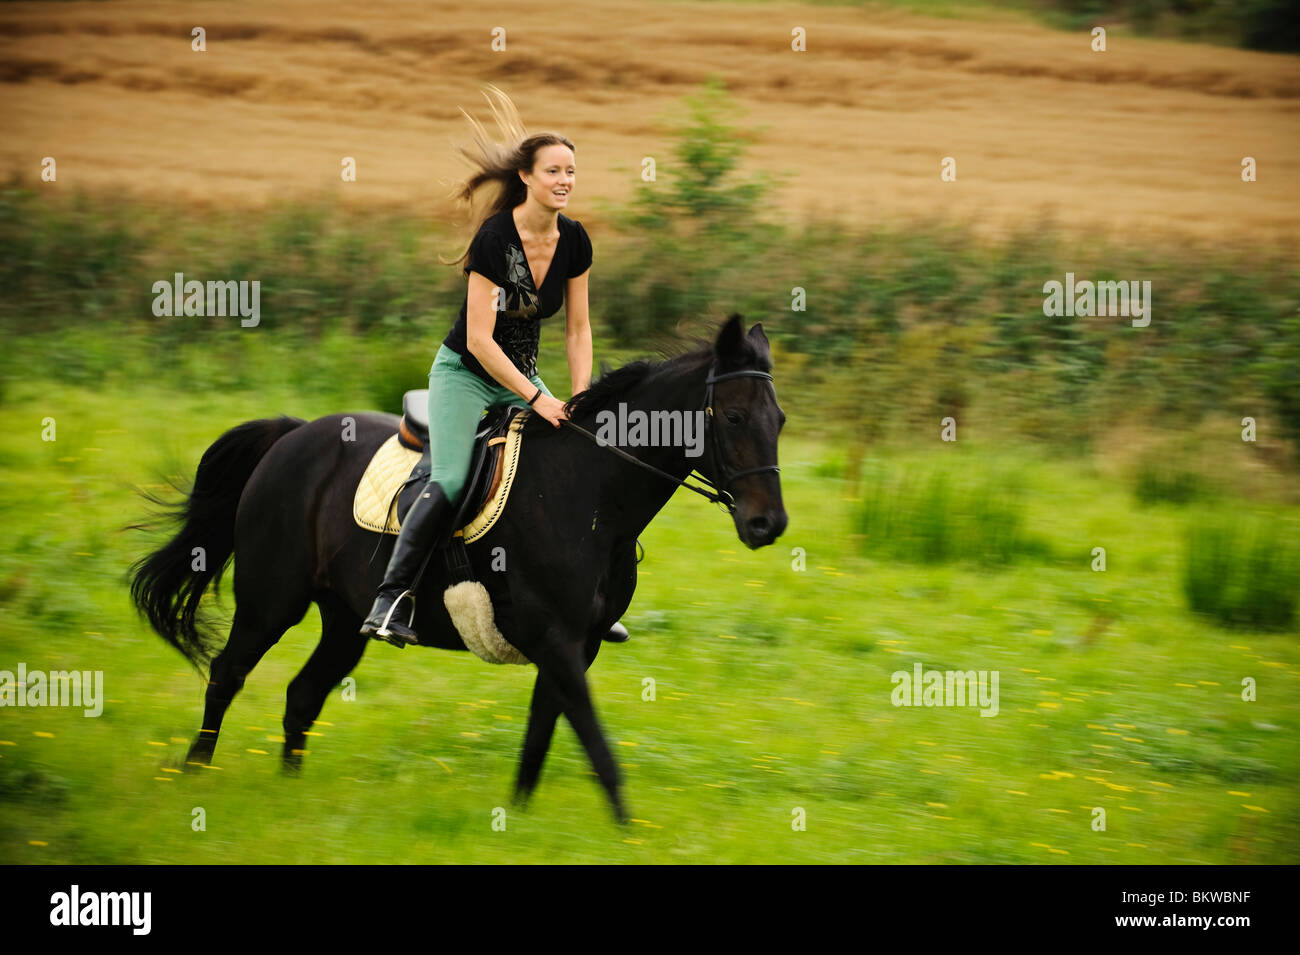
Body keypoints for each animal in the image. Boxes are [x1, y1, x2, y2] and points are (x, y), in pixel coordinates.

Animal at [130, 314, 787, 821]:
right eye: (732, 418)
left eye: (778, 421)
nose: (768, 525)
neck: (591, 493)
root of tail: (292, 434)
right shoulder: (555, 639)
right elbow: (595, 742)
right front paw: (627, 830)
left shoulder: (578, 645)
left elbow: (542, 733)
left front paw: (520, 818)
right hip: (271, 601)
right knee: (228, 674)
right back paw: (195, 776)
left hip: (343, 618)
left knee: (302, 695)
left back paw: (288, 795)